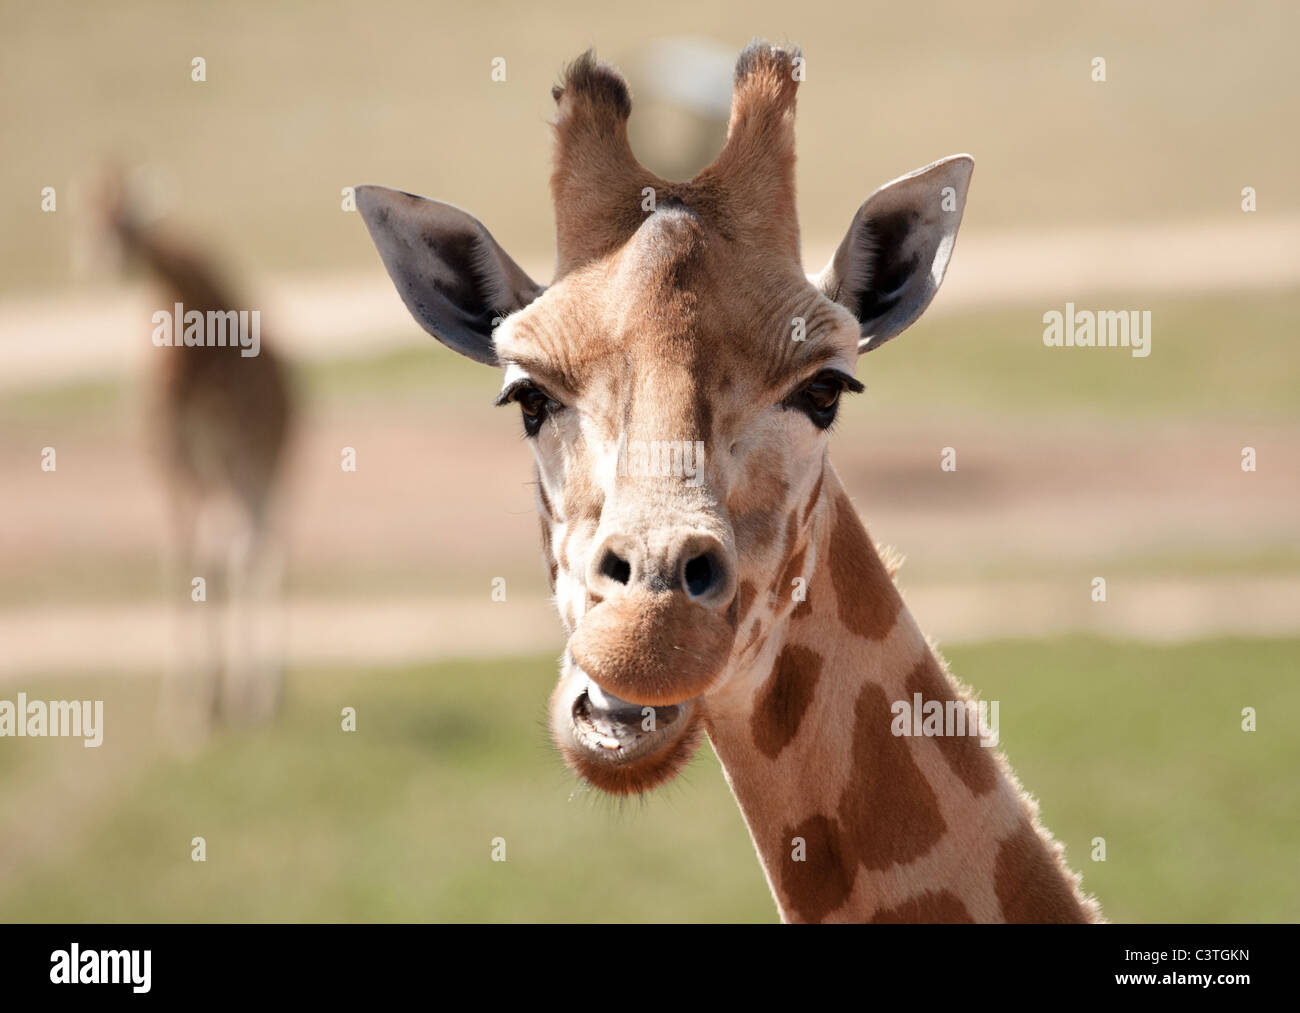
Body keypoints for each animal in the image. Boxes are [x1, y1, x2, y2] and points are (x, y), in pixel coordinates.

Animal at [94, 169, 294, 729]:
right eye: (90, 211)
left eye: (126, 216)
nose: (100, 257)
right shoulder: (169, 457)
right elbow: (185, 561)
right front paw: (189, 709)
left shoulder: (231, 452)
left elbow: (223, 559)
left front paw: (225, 702)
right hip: (227, 475)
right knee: (240, 550)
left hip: (268, 465)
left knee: (264, 550)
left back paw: (261, 697)